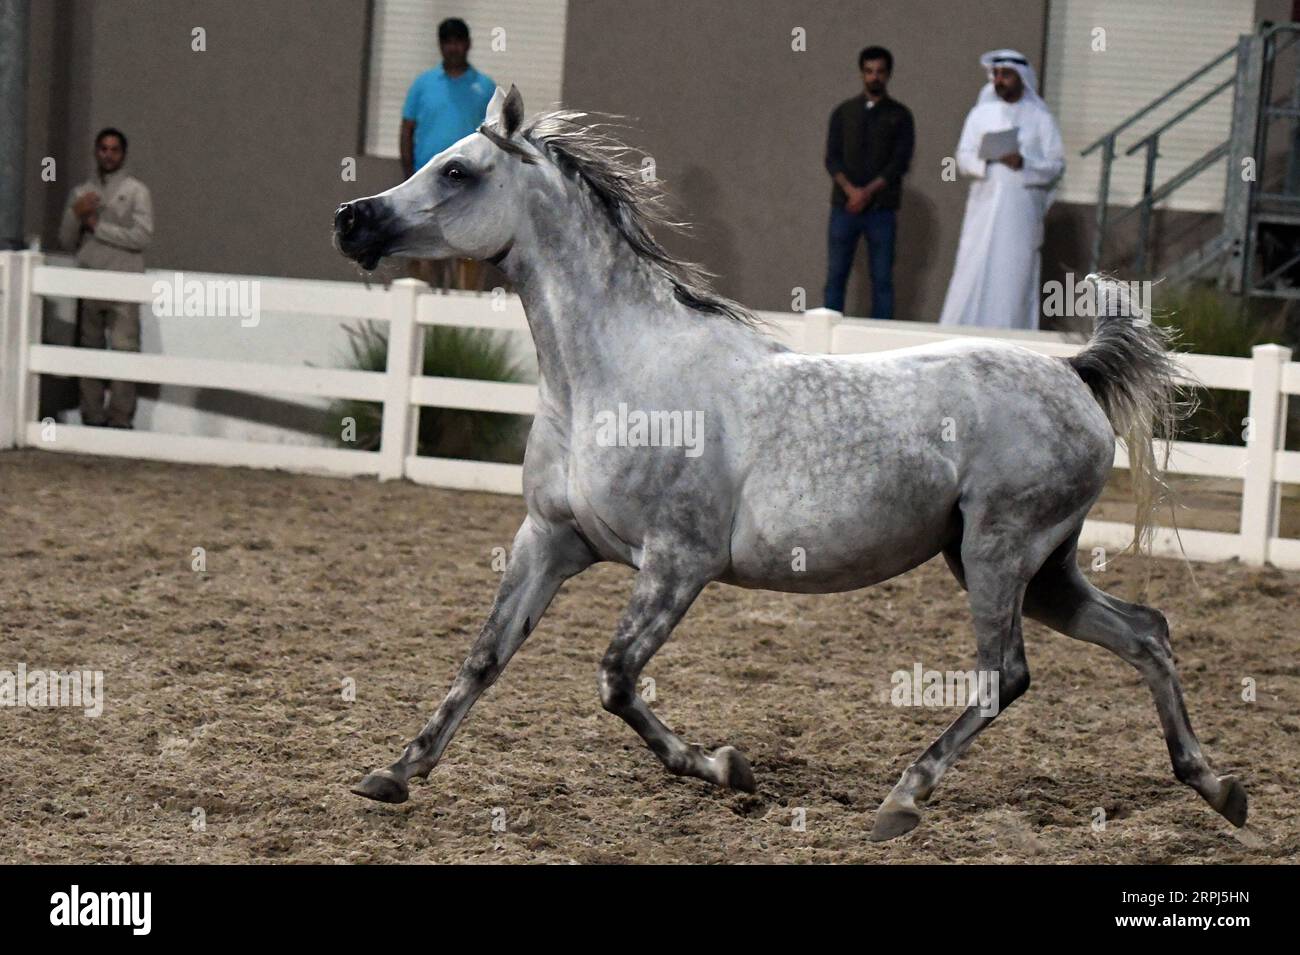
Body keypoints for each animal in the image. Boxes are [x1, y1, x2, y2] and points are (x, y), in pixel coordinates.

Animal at [333, 86, 1246, 841]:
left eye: (458, 169)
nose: (352, 219)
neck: (613, 374)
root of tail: (1073, 371)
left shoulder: (678, 562)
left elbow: (617, 679)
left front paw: (727, 768)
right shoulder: (550, 540)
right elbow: (484, 658)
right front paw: (393, 773)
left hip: (999, 551)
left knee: (1005, 674)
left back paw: (901, 800)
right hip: (1041, 565)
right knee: (1147, 632)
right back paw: (1218, 786)